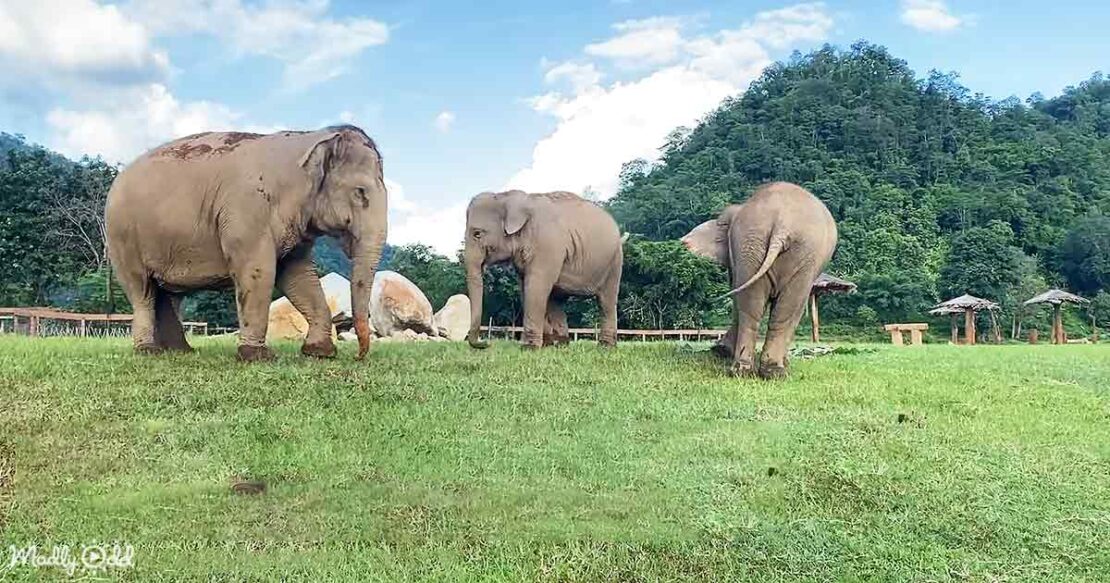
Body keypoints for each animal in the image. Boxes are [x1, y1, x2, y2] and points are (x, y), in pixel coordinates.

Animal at [105, 125, 388, 361]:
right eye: (360, 192)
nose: (359, 356)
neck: (311, 137)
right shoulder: (247, 211)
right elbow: (258, 271)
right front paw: (257, 356)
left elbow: (299, 277)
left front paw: (319, 352)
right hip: (123, 239)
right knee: (143, 290)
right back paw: (148, 351)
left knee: (170, 295)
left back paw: (181, 351)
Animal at [463, 190, 623, 349]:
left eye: (477, 233)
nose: (486, 343)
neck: (508, 197)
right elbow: (525, 288)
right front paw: (543, 345)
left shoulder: (547, 244)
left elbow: (536, 286)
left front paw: (530, 348)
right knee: (556, 300)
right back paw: (560, 345)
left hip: (614, 261)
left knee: (606, 302)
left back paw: (605, 347)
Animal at [682, 182, 837, 379]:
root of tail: (782, 224)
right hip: (769, 248)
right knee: (773, 308)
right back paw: (765, 370)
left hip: (764, 246)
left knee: (755, 307)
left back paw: (752, 370)